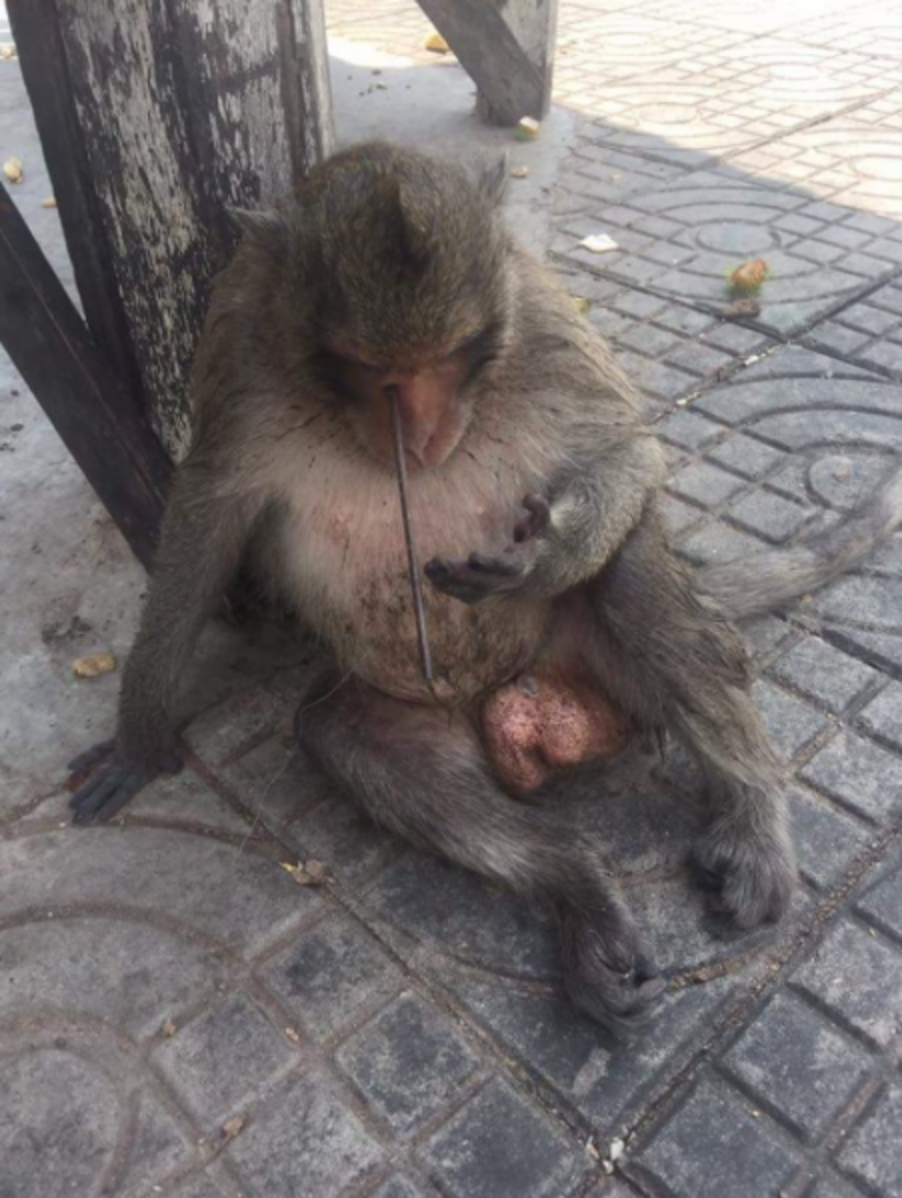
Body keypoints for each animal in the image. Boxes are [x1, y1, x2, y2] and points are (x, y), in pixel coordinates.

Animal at [68, 140, 902, 1035]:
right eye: (373, 370)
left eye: (451, 354)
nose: (419, 433)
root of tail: (514, 696)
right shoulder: (239, 345)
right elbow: (203, 523)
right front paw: (140, 732)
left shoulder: (539, 316)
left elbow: (630, 452)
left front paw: (547, 556)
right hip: (417, 705)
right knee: (346, 737)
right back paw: (576, 883)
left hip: (588, 654)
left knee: (631, 574)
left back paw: (750, 811)